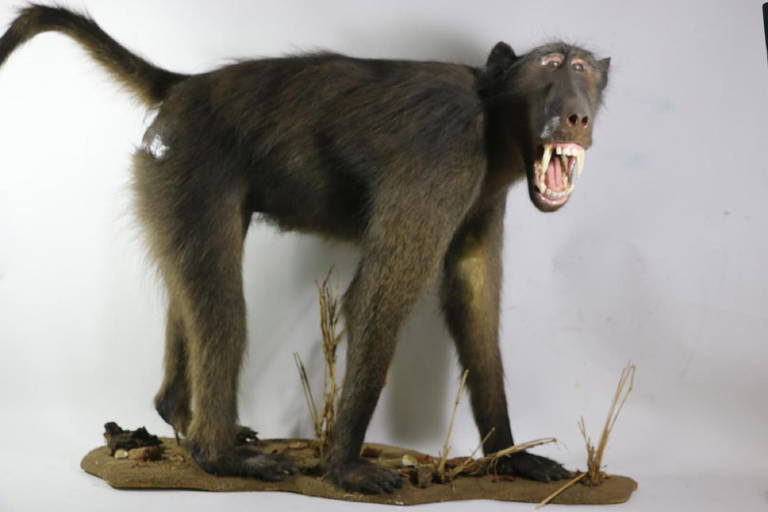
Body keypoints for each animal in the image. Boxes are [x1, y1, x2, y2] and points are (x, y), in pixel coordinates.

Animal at [0, 5, 610, 494]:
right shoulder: (445, 154)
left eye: (582, 69)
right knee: (221, 306)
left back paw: (179, 414)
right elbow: (376, 300)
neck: (491, 117)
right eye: (551, 64)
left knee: (190, 292)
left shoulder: (483, 196)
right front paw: (345, 467)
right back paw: (219, 456)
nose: (576, 116)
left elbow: (473, 302)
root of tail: (188, 85)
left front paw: (513, 458)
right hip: (183, 162)